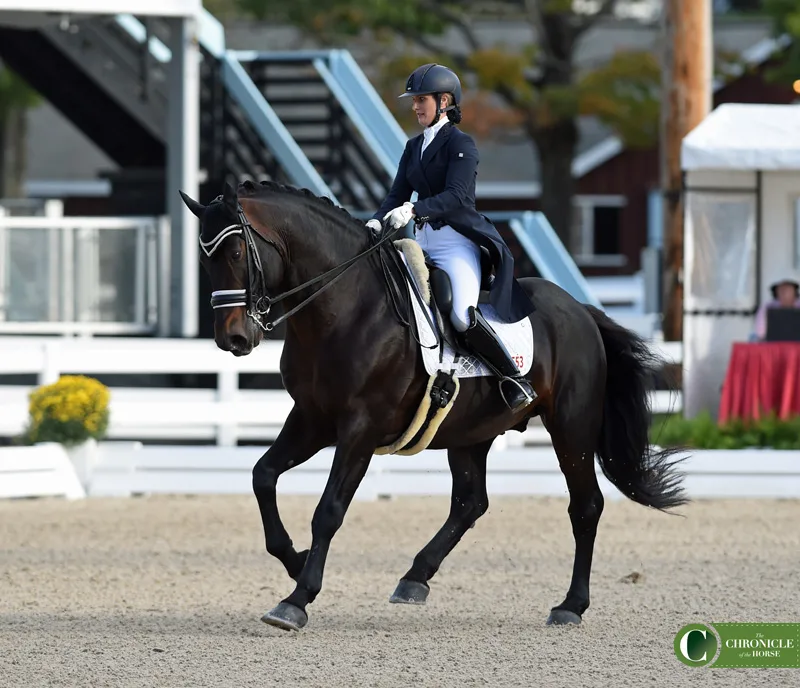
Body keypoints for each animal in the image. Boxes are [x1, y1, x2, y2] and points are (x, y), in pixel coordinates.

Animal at [178, 180, 687, 632]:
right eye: (205, 258)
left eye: (236, 253)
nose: (233, 339)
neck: (343, 307)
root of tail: (581, 311)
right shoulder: (311, 419)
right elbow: (262, 476)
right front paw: (294, 560)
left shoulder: (359, 428)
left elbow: (329, 509)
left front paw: (297, 599)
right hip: (471, 432)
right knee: (470, 502)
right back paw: (414, 578)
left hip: (571, 427)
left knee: (585, 506)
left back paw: (570, 606)